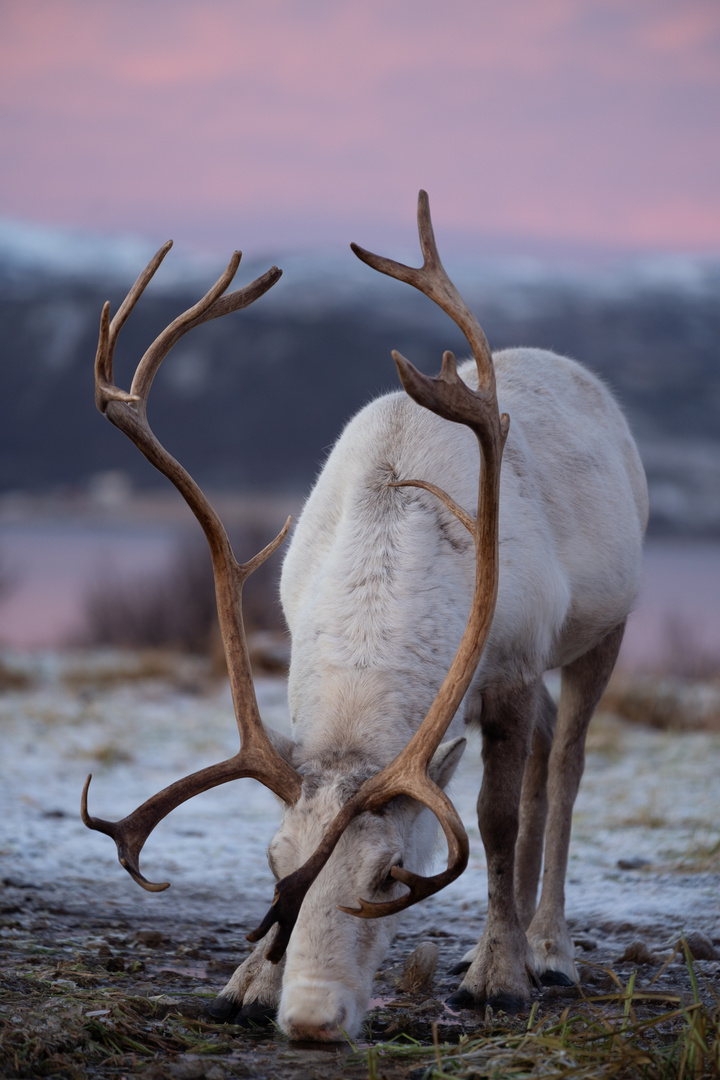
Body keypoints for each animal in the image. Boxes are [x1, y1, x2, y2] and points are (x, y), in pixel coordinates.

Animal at [81, 192, 648, 1042]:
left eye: (391, 874)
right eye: (274, 862)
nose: (313, 1019)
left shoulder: (514, 663)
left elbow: (496, 819)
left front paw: (500, 975)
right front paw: (247, 983)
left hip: (602, 631)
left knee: (565, 766)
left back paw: (547, 948)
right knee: (549, 754)